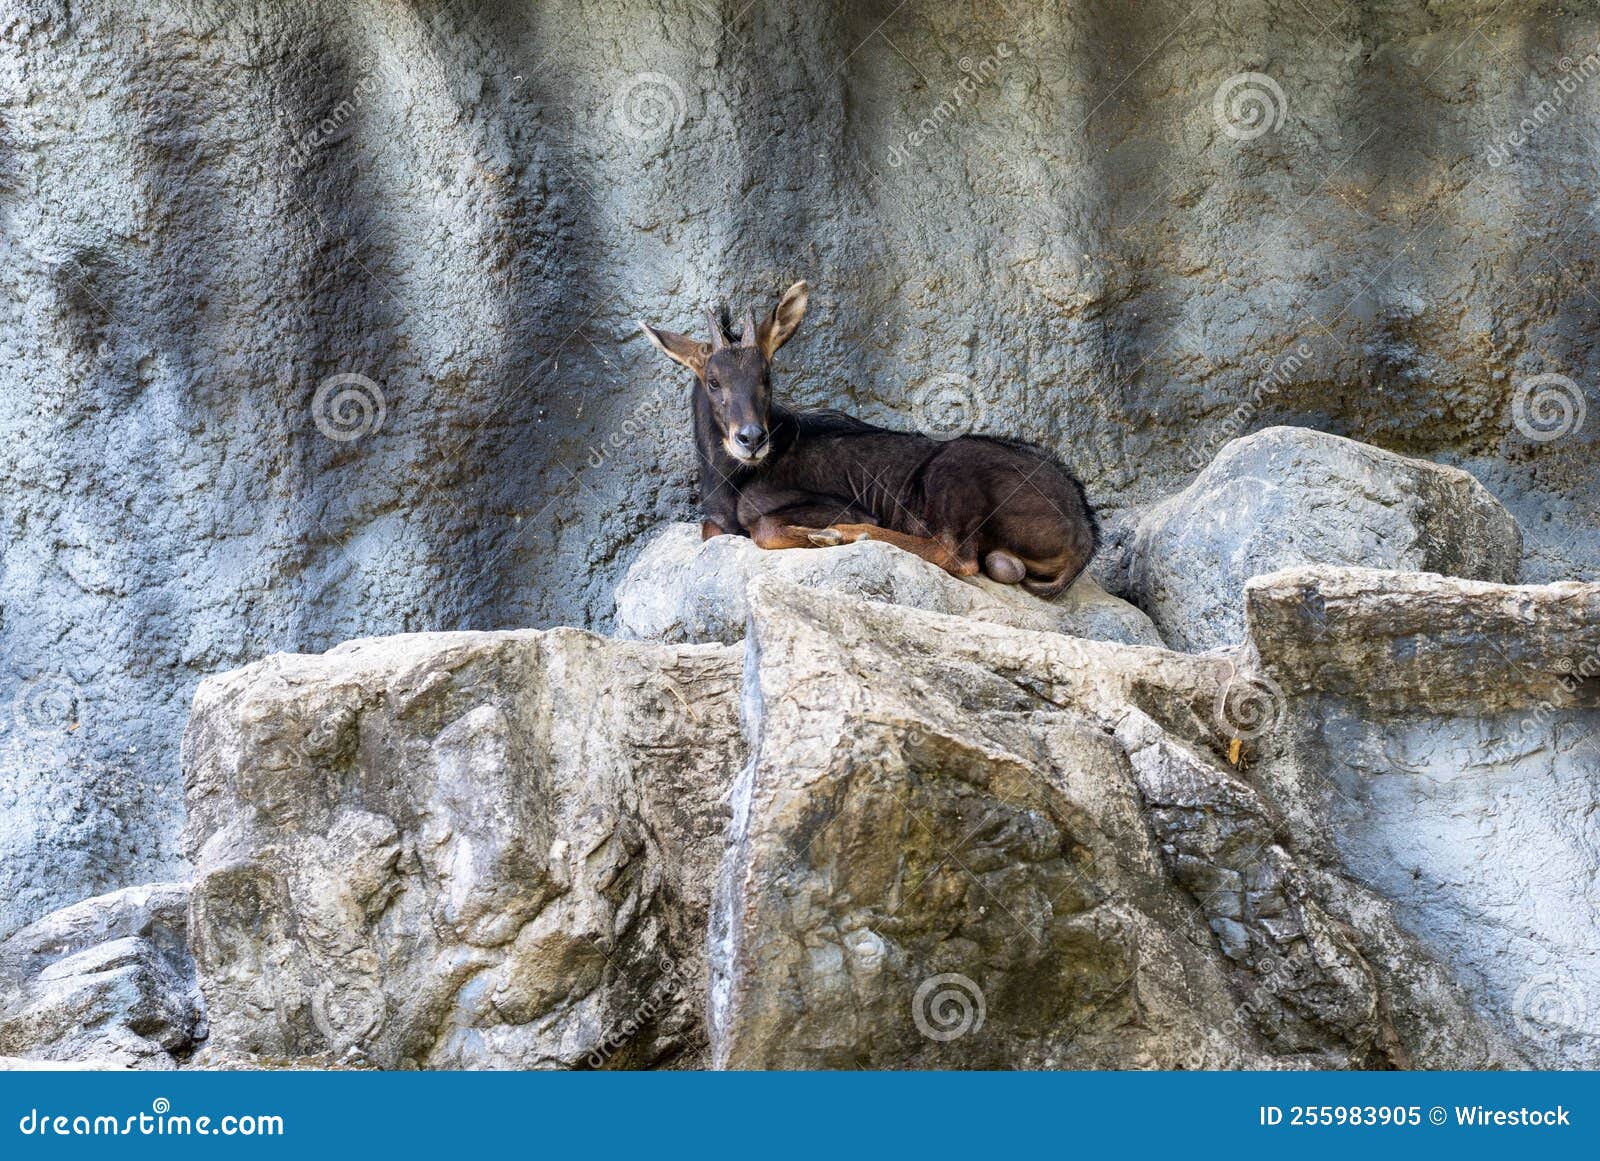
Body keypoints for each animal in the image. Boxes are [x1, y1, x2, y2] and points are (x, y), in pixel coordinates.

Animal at [638, 282, 1098, 597]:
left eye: (766, 377)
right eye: (713, 381)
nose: (750, 438)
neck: (728, 479)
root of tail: (1085, 534)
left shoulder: (841, 504)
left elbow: (763, 528)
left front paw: (822, 536)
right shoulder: (714, 523)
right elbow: (711, 530)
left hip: (952, 472)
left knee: (955, 554)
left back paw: (847, 535)